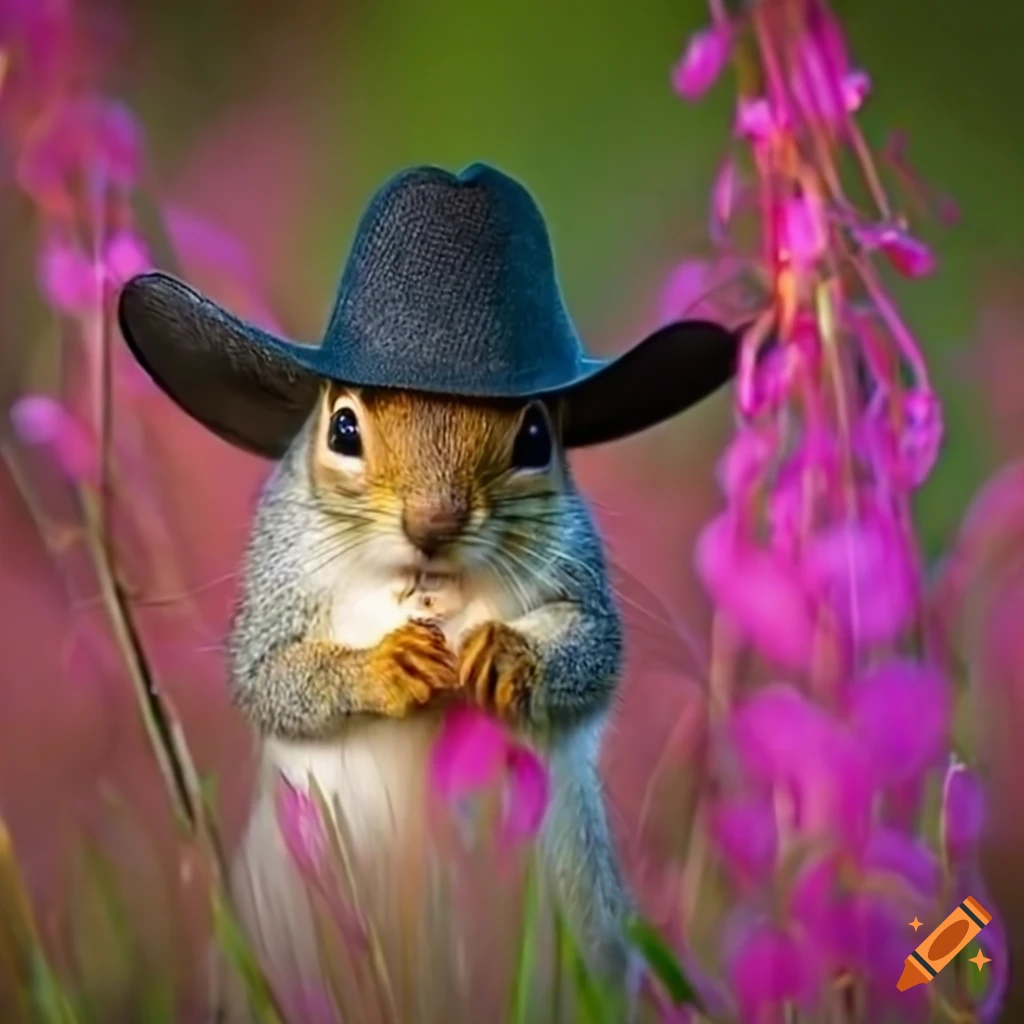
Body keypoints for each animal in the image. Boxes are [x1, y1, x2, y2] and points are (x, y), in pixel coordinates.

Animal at [225, 379, 632, 1010]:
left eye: (536, 437)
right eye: (343, 428)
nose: (432, 524)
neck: (427, 583)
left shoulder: (579, 573)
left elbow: (595, 654)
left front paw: (510, 654)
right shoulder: (278, 581)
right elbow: (272, 677)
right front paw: (387, 666)